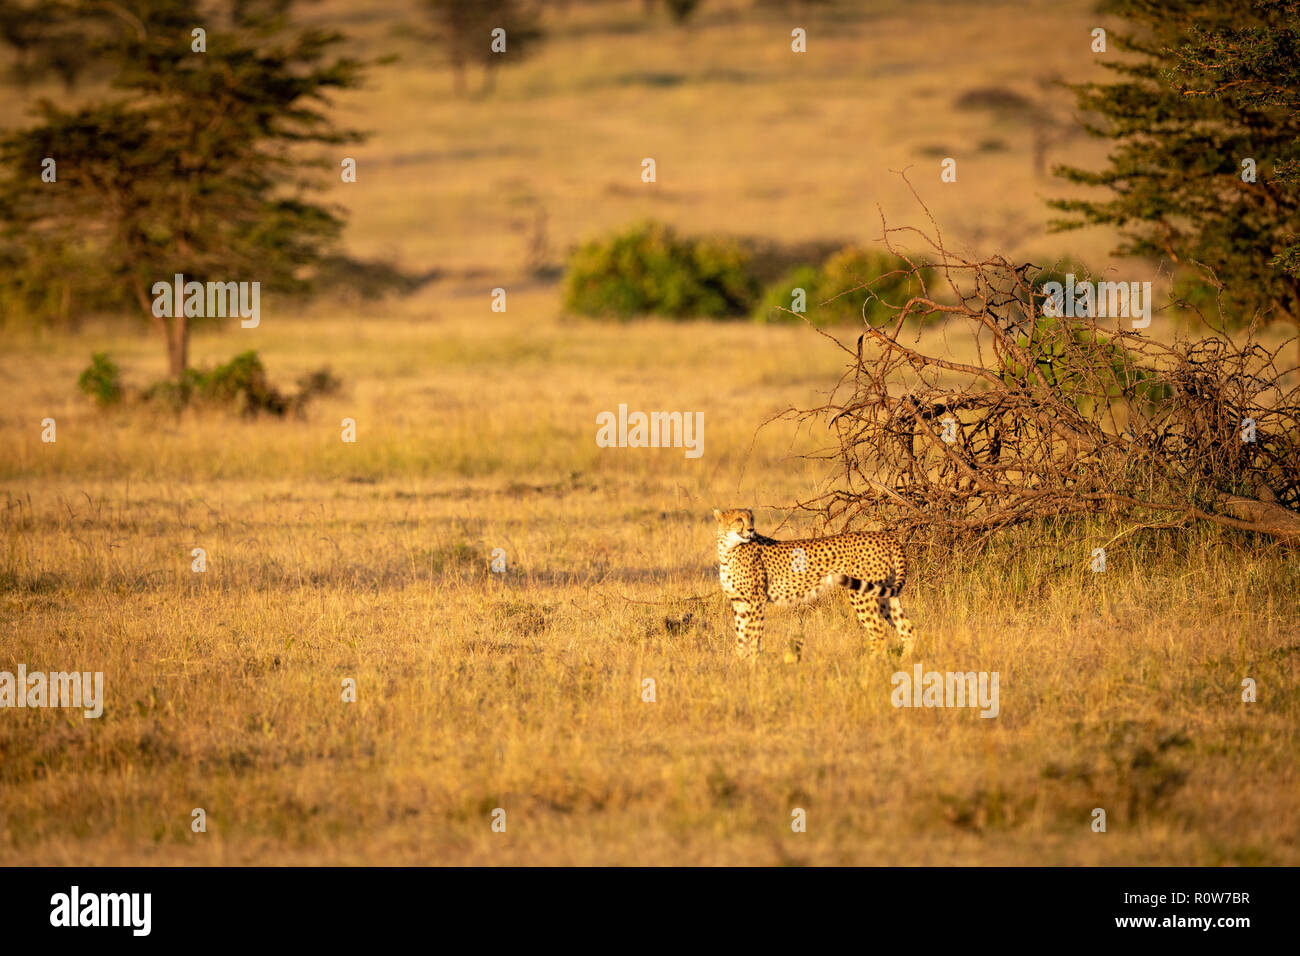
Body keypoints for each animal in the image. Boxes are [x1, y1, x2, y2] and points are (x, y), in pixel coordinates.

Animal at [713, 508, 915, 660]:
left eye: (751, 519)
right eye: (739, 519)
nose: (751, 530)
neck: (728, 550)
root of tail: (886, 536)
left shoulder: (756, 600)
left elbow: (754, 635)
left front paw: (754, 665)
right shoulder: (739, 602)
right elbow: (741, 637)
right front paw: (741, 664)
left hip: (862, 593)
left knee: (879, 634)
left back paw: (868, 667)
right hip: (887, 594)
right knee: (907, 629)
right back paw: (904, 664)